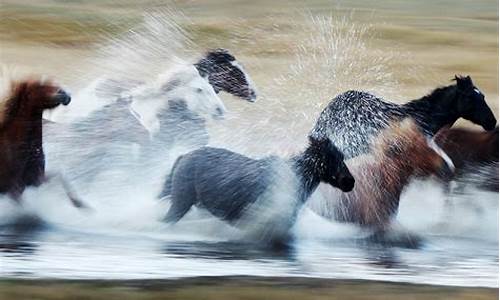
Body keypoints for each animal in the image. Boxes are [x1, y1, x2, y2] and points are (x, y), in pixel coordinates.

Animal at [0, 78, 86, 207]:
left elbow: (60, 175)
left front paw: (80, 204)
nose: (65, 94)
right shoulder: (14, 190)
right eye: (39, 86)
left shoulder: (36, 180)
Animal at [160, 137, 356, 245]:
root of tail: (184, 157)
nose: (350, 182)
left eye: (341, 156)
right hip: (180, 203)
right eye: (333, 157)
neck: (296, 176)